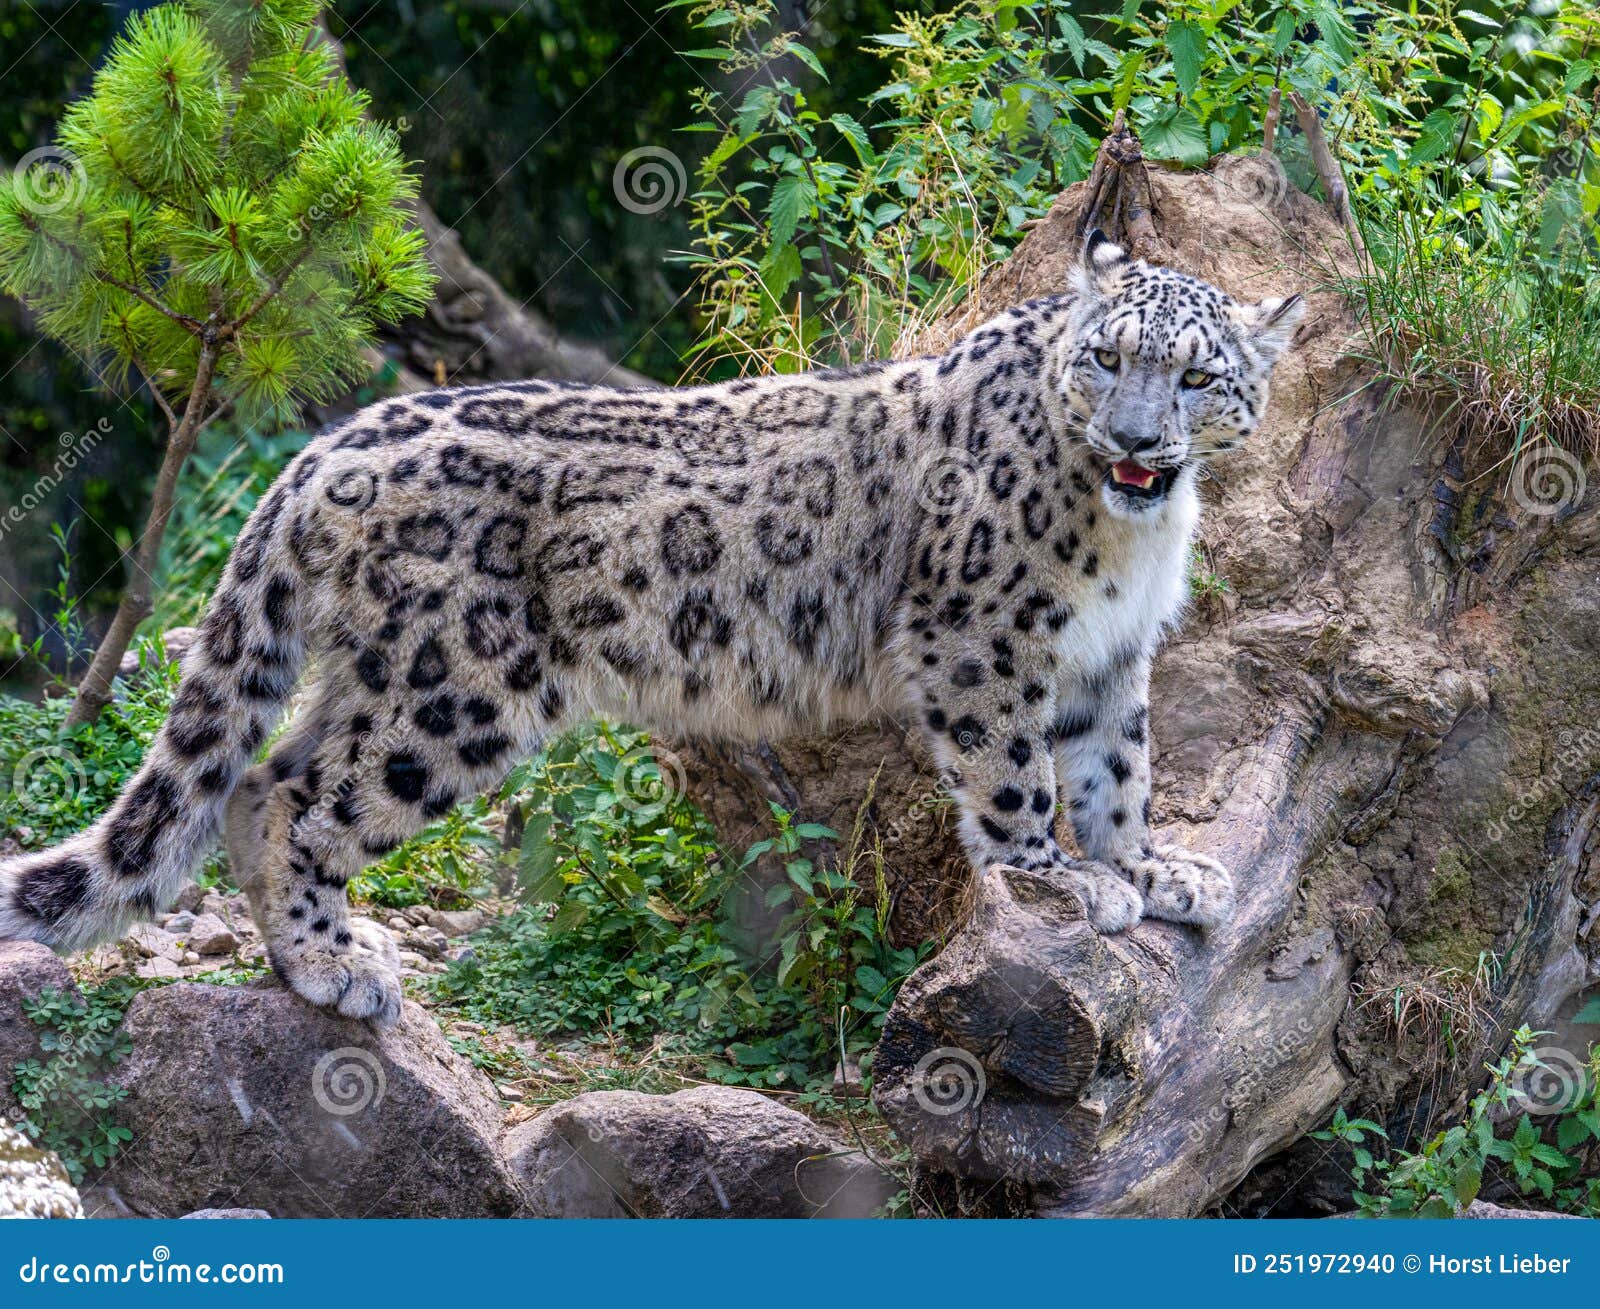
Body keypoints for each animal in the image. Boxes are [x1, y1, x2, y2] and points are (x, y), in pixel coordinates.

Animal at [0, 232, 1302, 1026]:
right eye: (1108, 357)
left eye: (1195, 377)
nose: (1134, 438)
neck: (1134, 535)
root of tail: (323, 451)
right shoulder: (983, 634)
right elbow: (1017, 774)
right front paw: (1057, 881)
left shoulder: (1108, 656)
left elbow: (1117, 769)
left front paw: (1149, 868)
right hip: (455, 685)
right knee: (291, 794)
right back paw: (332, 964)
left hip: (388, 675)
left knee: (267, 771)